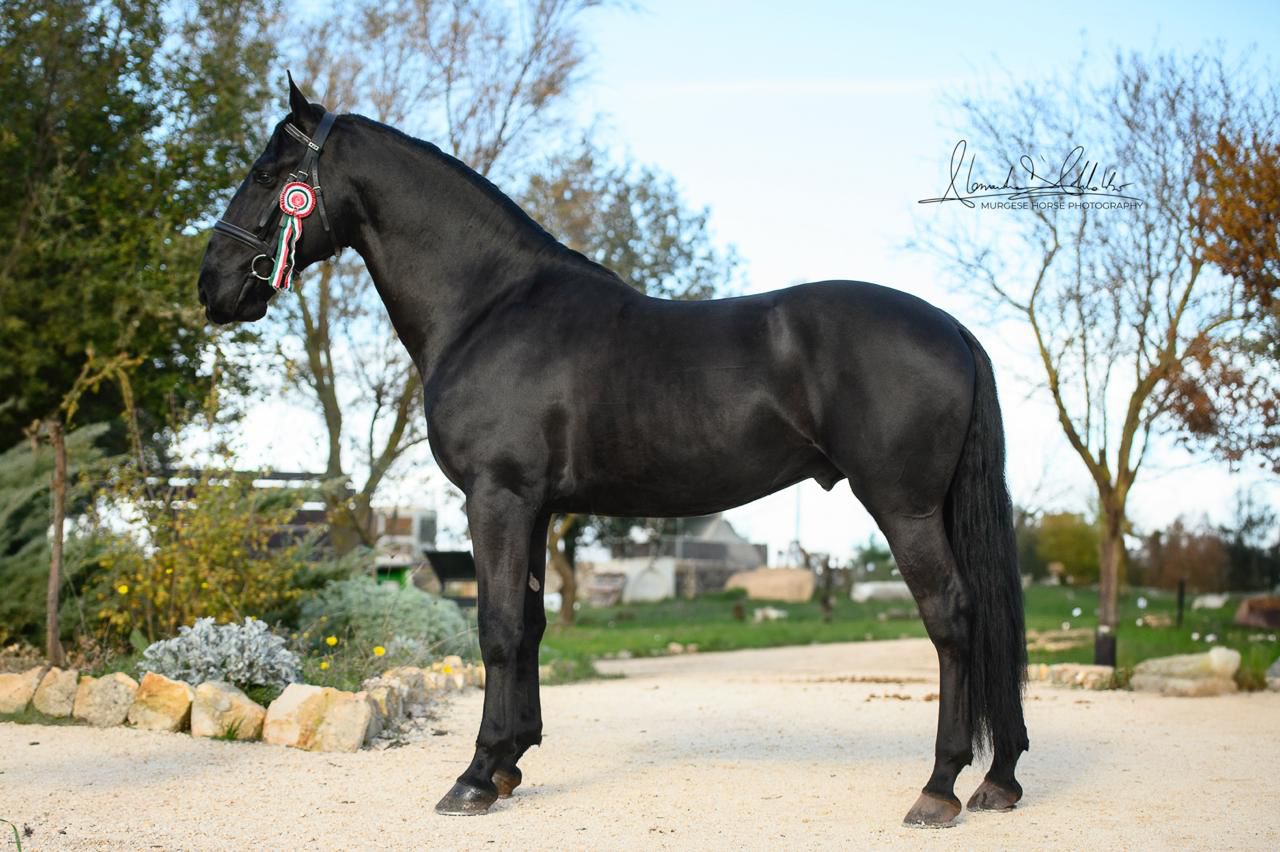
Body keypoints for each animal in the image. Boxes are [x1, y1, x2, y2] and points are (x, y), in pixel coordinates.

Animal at [198, 77, 1029, 828]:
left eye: (268, 175)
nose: (214, 286)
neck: (489, 305)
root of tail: (952, 327)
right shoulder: (534, 509)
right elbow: (530, 625)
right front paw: (511, 763)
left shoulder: (497, 498)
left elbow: (496, 629)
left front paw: (474, 776)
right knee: (987, 614)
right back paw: (1001, 779)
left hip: (903, 505)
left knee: (952, 616)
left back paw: (939, 788)